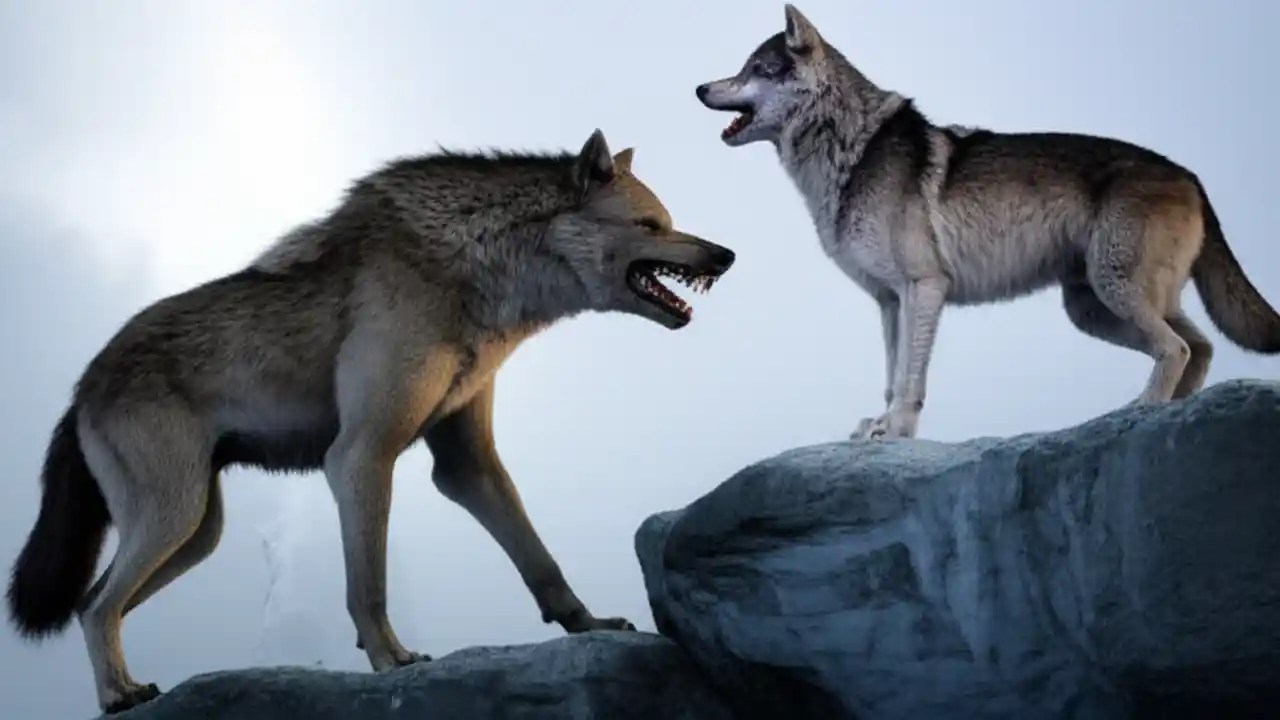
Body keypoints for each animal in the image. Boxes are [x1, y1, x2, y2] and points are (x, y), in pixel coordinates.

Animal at [5, 128, 736, 714]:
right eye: (650, 225)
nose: (724, 255)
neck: (474, 272)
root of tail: (79, 390)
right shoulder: (359, 455)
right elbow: (369, 585)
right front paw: (392, 659)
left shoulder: (466, 463)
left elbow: (540, 559)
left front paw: (590, 624)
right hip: (174, 516)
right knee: (96, 605)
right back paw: (119, 695)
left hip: (196, 532)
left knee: (92, 602)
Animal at [696, 4, 1280, 439]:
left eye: (756, 69)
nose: (700, 89)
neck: (851, 150)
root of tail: (1191, 176)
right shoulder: (890, 301)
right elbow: (890, 376)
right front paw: (882, 426)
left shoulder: (924, 288)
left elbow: (909, 377)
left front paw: (899, 428)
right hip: (1096, 307)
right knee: (1200, 347)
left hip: (1115, 294)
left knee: (1177, 348)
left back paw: (1142, 412)